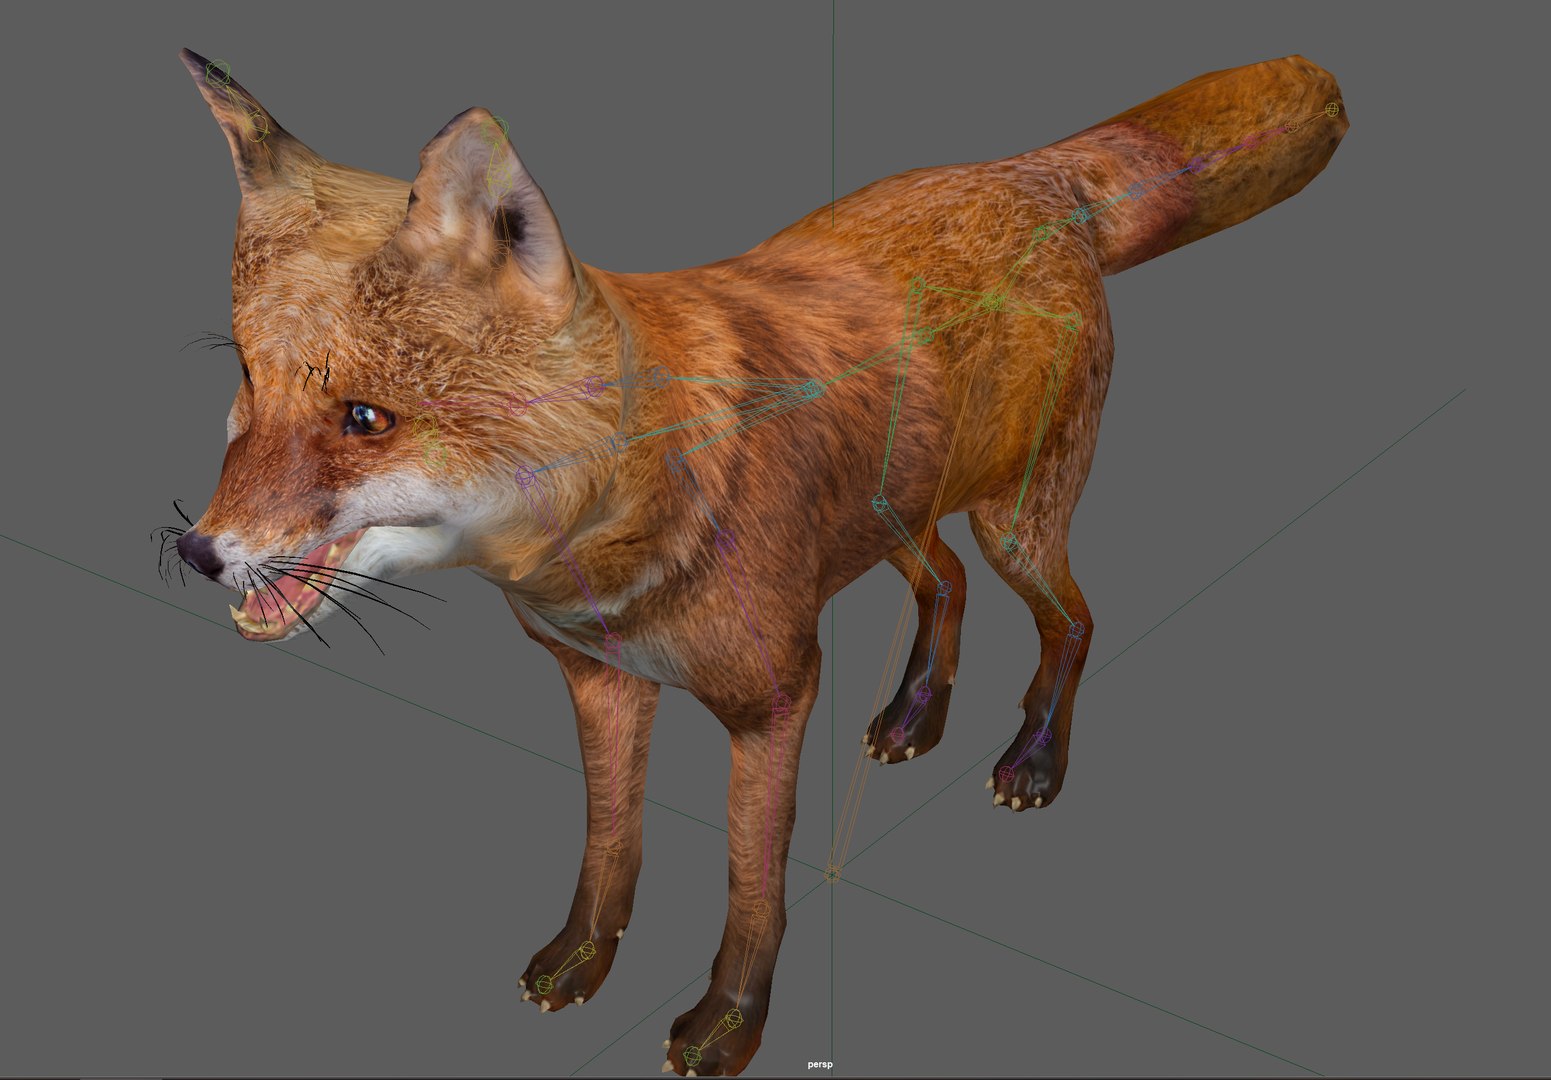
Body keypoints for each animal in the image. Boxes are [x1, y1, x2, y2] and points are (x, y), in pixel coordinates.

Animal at [171, 47, 1346, 1076]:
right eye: (247, 383)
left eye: (365, 419)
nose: (195, 551)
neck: (612, 539)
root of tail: (1023, 171)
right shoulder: (601, 682)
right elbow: (610, 847)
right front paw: (581, 961)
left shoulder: (776, 696)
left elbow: (750, 883)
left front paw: (727, 1027)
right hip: (903, 515)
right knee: (948, 586)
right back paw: (914, 714)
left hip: (1016, 521)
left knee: (1074, 620)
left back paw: (1035, 762)